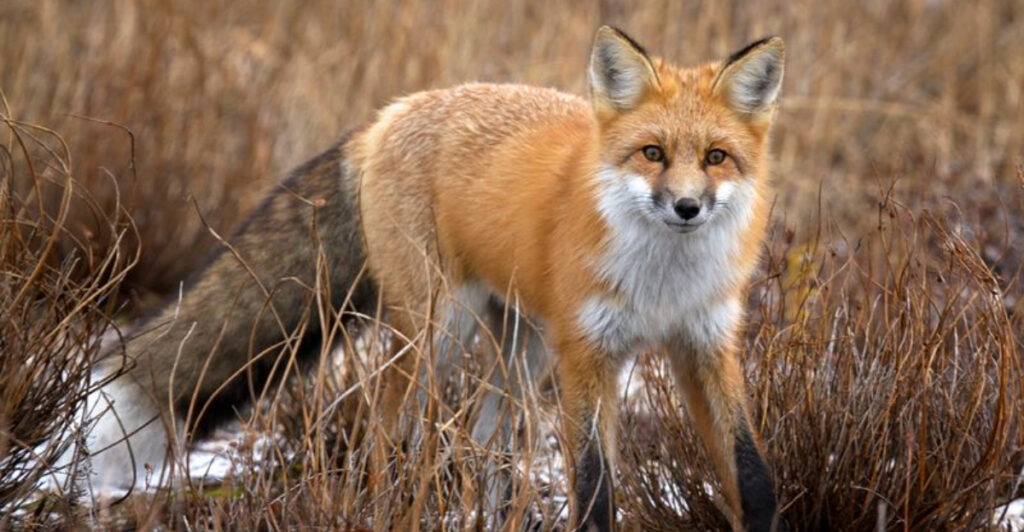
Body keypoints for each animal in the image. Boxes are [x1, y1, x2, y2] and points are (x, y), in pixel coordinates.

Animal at [69, 26, 786, 532]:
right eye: (652, 154)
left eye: (716, 158)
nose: (687, 207)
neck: (664, 280)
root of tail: (391, 114)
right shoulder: (588, 356)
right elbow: (593, 486)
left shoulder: (703, 344)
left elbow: (752, 472)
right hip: (436, 334)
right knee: (385, 432)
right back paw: (383, 510)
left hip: (518, 350)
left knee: (485, 441)